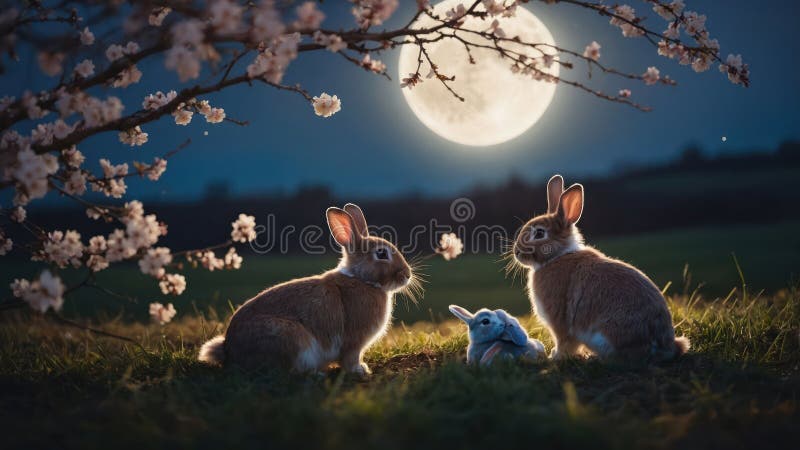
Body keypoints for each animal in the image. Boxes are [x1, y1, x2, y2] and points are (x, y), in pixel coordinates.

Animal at [198, 203, 414, 375]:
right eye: (381, 254)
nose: (407, 275)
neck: (361, 279)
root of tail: (229, 350)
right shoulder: (354, 342)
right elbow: (350, 358)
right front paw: (361, 371)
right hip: (292, 339)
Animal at [511, 174, 690, 361]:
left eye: (539, 233)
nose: (516, 252)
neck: (557, 255)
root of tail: (663, 346)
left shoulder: (559, 320)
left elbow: (564, 341)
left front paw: (555, 357)